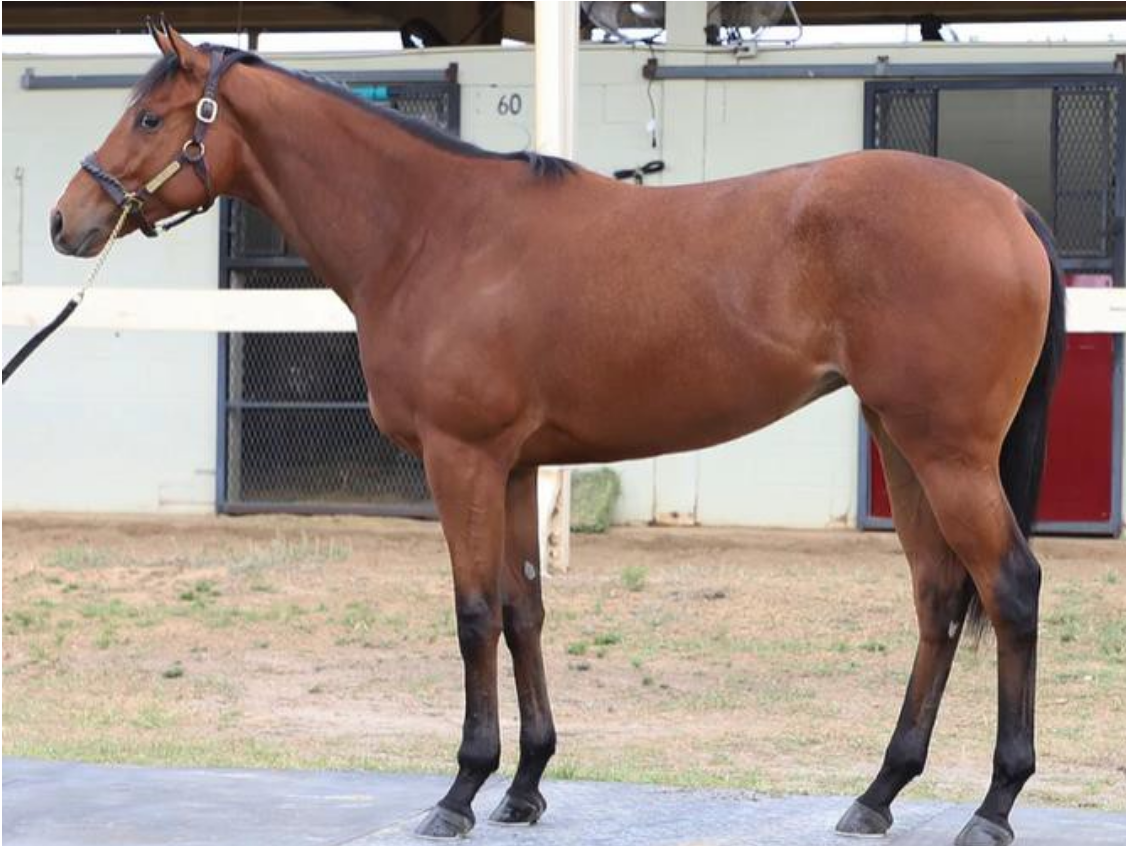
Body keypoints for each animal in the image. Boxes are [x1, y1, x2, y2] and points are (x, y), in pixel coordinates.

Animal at [51, 24, 1065, 846]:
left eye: (150, 117)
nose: (69, 221)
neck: (433, 233)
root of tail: (1008, 206)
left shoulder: (460, 459)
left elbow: (471, 616)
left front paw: (460, 790)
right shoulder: (511, 467)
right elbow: (522, 610)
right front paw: (526, 784)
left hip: (948, 452)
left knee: (1009, 587)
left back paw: (993, 805)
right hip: (901, 443)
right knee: (940, 596)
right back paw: (879, 792)